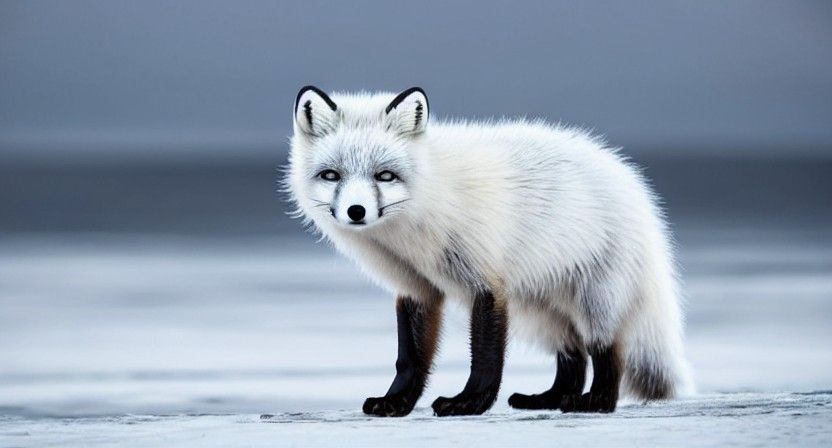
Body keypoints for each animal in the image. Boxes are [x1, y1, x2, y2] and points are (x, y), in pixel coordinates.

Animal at [286, 85, 693, 417]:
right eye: (332, 175)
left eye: (384, 176)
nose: (356, 211)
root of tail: (635, 186)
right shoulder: (416, 287)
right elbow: (410, 358)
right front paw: (397, 402)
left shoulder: (485, 280)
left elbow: (484, 356)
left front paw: (470, 403)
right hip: (539, 311)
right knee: (572, 358)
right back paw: (550, 398)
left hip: (594, 303)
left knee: (607, 352)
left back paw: (599, 401)